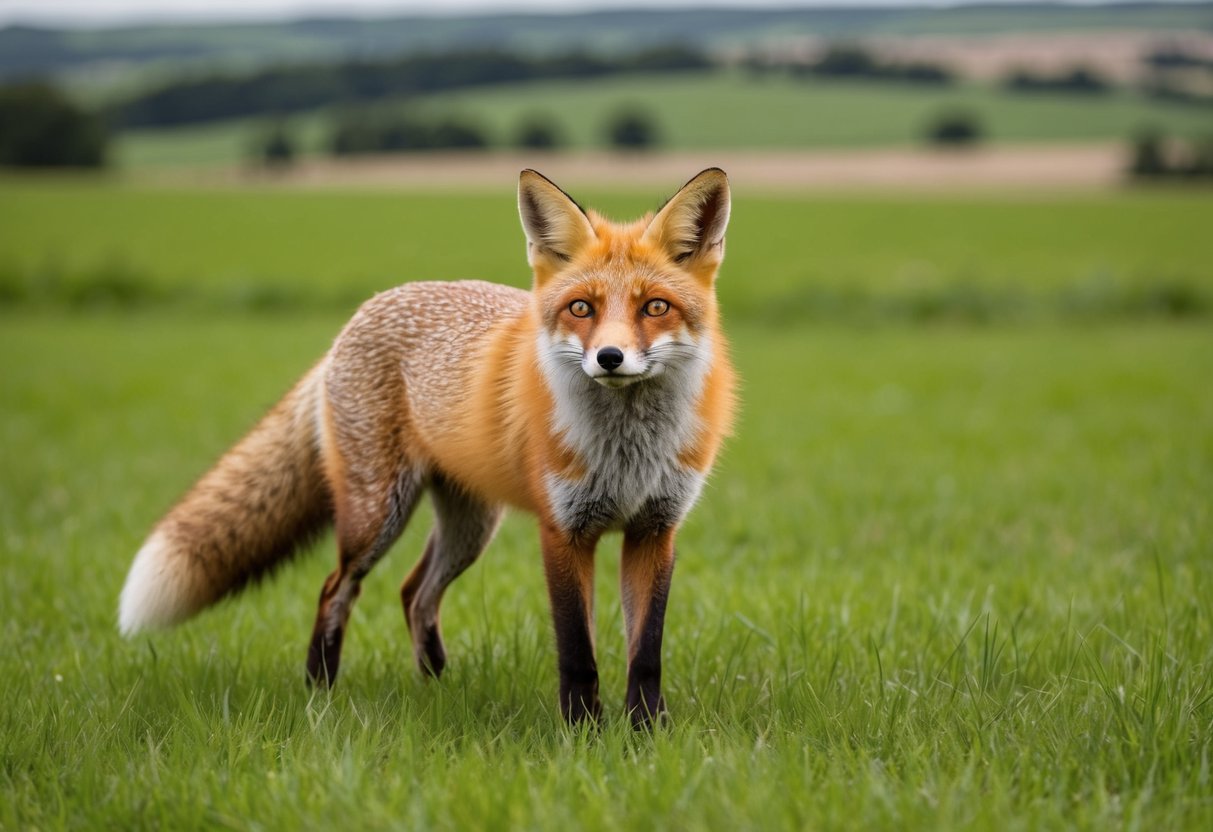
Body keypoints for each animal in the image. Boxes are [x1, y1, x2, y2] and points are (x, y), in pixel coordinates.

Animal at [119, 168, 736, 726]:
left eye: (655, 307)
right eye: (581, 308)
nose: (609, 358)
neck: (628, 452)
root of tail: (359, 315)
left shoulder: (654, 530)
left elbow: (645, 653)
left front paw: (646, 734)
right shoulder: (563, 531)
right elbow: (577, 653)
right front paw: (582, 734)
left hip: (470, 526)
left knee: (415, 593)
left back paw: (437, 688)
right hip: (376, 515)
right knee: (335, 589)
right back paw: (320, 694)